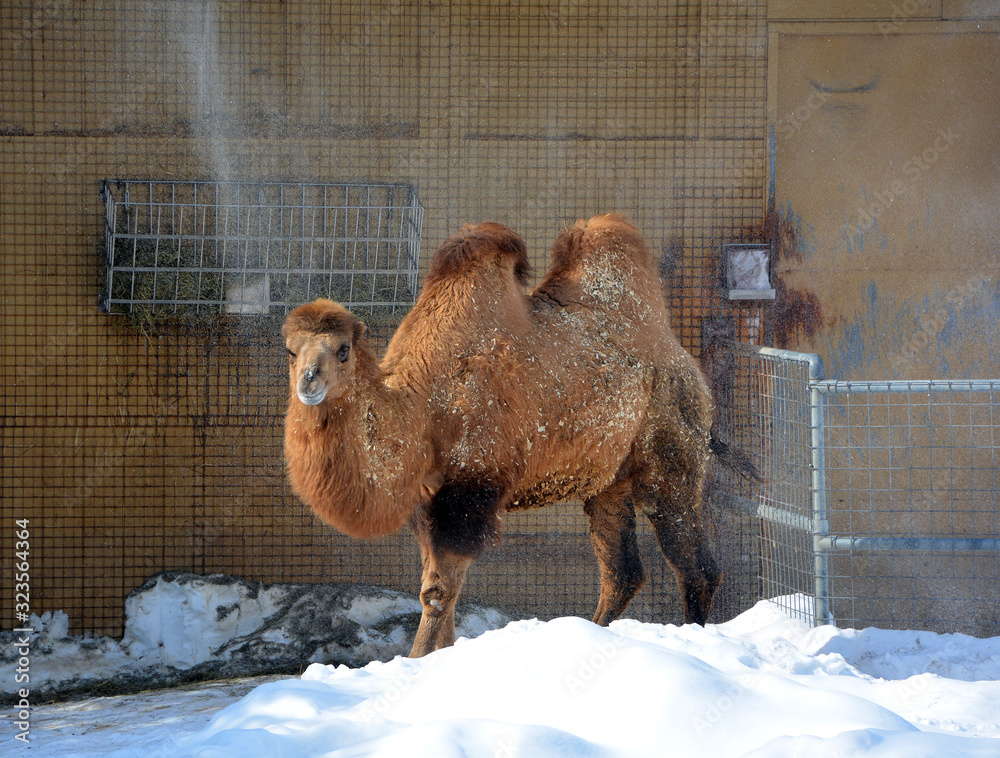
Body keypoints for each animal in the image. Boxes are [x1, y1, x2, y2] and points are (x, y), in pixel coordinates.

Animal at [283, 214, 724, 657]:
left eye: (342, 350)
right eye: (290, 350)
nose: (309, 382)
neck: (425, 404)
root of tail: (681, 357)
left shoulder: (472, 484)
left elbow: (439, 591)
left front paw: (419, 659)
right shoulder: (428, 495)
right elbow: (441, 587)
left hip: (671, 453)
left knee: (695, 565)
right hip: (608, 480)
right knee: (622, 570)